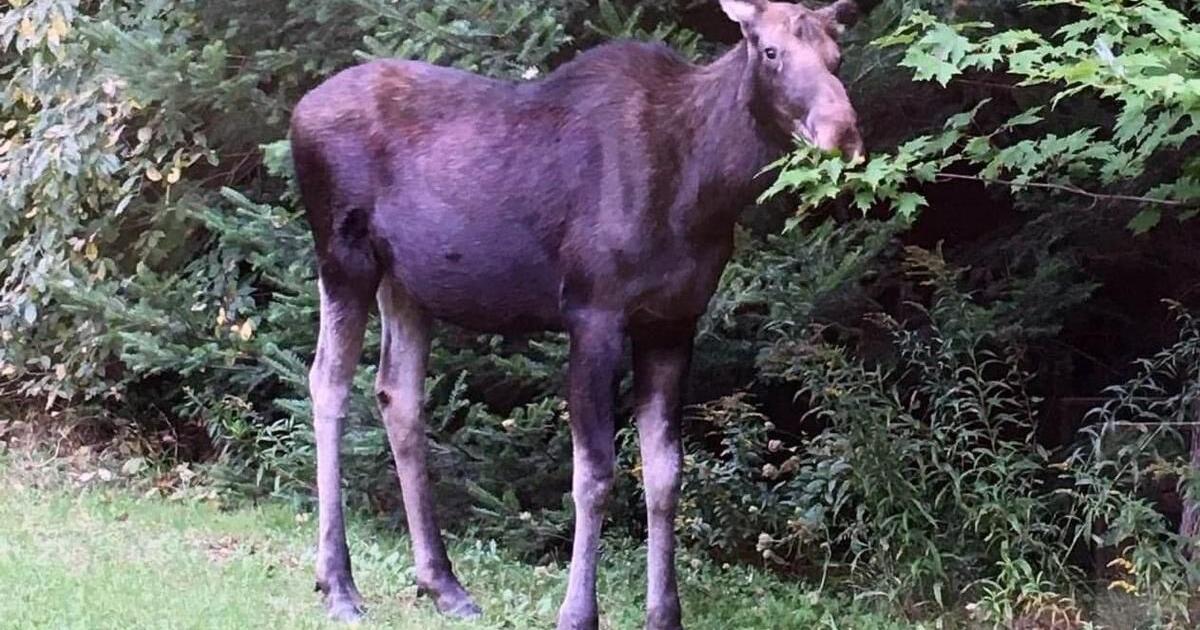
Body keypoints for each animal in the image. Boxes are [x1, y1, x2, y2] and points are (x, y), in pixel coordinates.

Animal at [289, 1, 872, 628]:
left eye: (838, 55)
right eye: (769, 51)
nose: (844, 131)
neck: (702, 192)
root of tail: (298, 112)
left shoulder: (673, 321)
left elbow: (665, 472)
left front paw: (664, 613)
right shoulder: (594, 311)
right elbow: (594, 473)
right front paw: (577, 612)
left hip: (407, 282)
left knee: (398, 394)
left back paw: (442, 583)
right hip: (344, 256)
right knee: (327, 383)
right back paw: (338, 583)